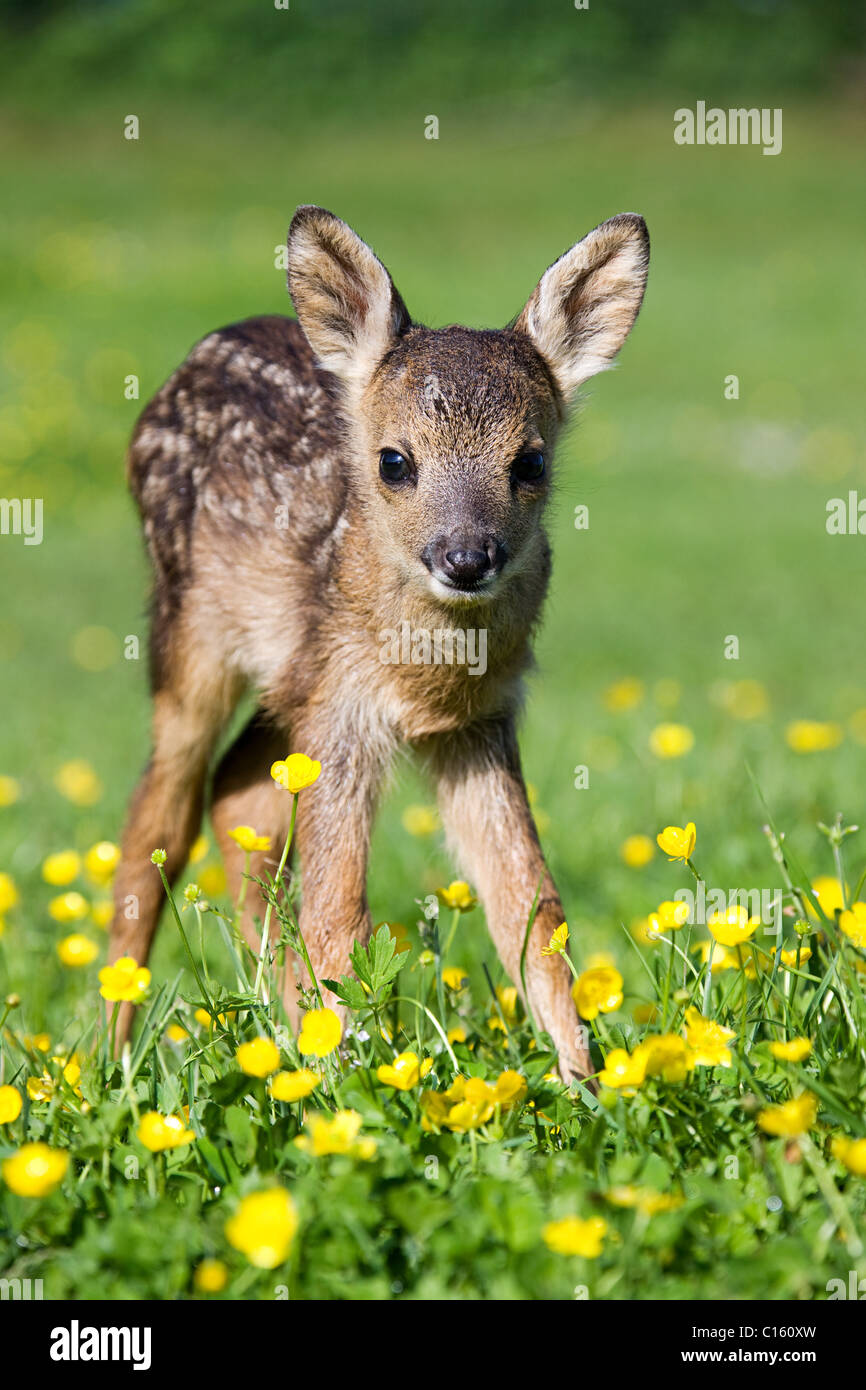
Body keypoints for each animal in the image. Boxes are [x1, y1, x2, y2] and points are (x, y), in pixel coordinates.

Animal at [109, 205, 649, 1079]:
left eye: (530, 460)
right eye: (395, 460)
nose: (466, 556)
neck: (424, 678)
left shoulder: (476, 722)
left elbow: (531, 906)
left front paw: (586, 1081)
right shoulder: (346, 716)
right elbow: (339, 915)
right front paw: (353, 1087)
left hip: (291, 686)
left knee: (236, 795)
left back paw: (276, 1026)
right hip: (188, 637)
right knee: (158, 820)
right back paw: (113, 1059)